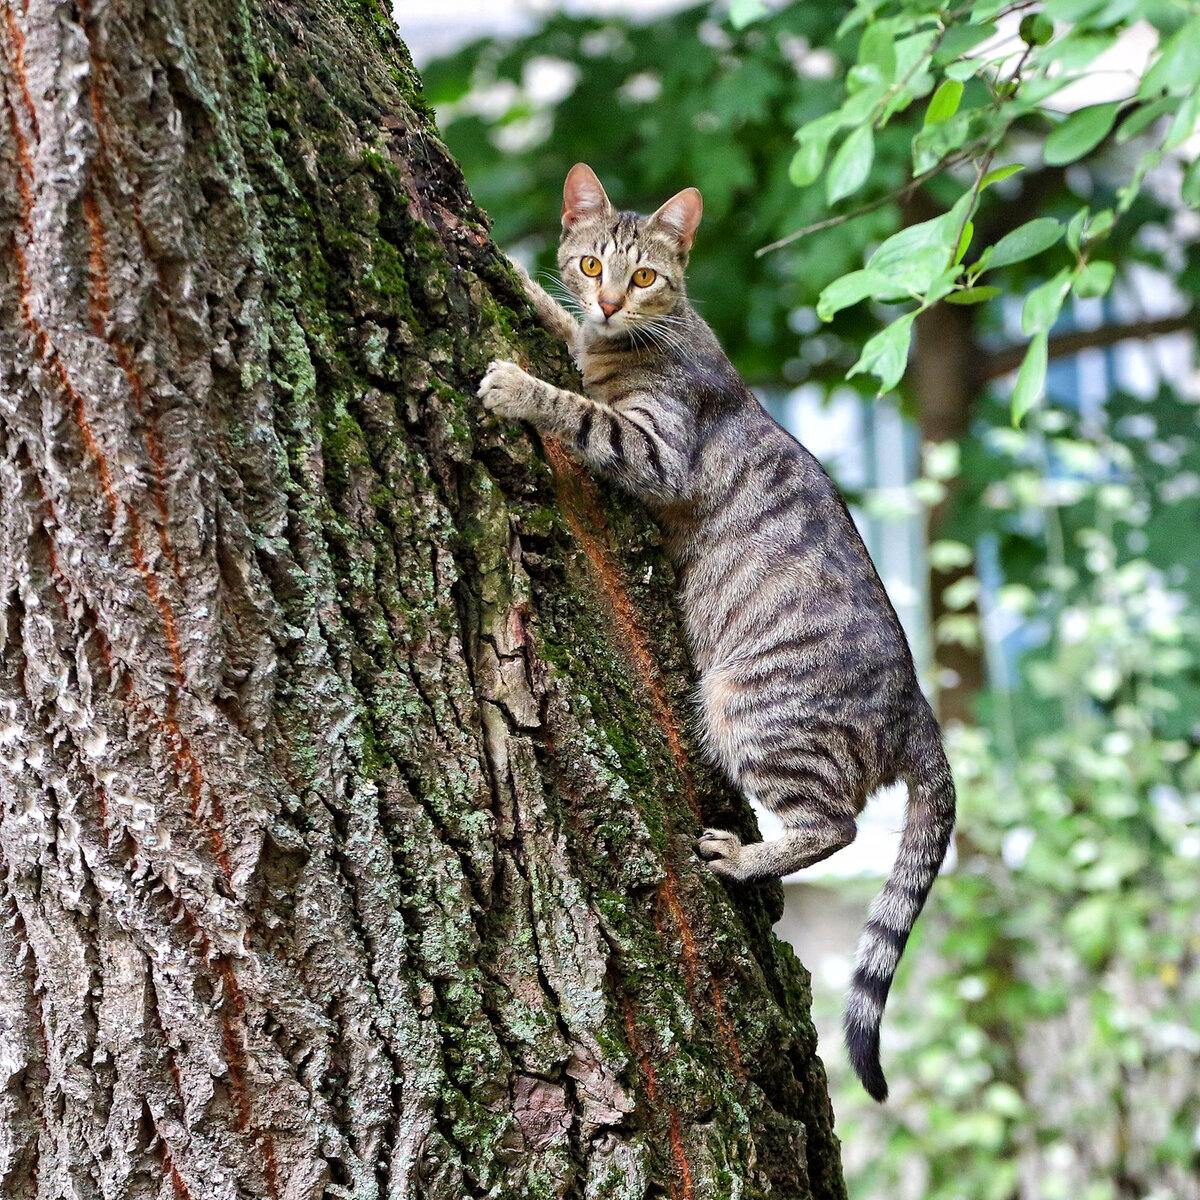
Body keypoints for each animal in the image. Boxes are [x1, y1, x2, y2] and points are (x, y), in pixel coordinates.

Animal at [477, 164, 955, 1099]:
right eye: (591, 263)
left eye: (646, 275)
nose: (612, 301)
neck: (639, 341)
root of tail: (918, 710)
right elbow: (564, 338)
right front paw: (527, 285)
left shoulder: (655, 447)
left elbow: (577, 410)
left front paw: (518, 385)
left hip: (753, 710)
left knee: (834, 829)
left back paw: (740, 861)